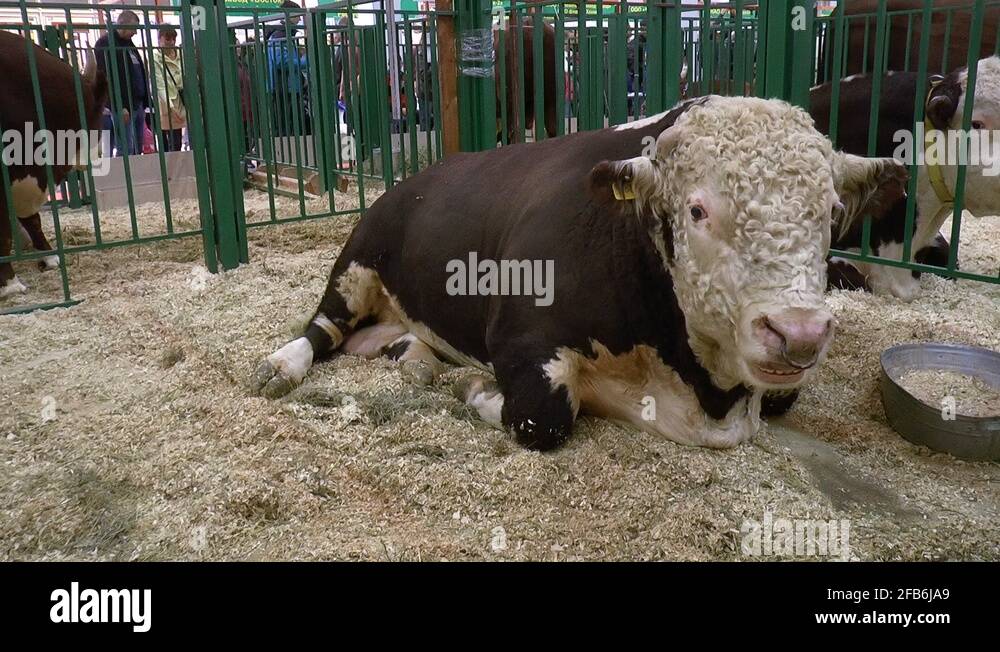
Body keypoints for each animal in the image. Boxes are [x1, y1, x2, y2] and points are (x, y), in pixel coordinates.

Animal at [0, 31, 108, 299]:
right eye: (102, 111)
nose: (100, 153)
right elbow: (3, 232)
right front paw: (10, 285)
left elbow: (33, 220)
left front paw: (50, 258)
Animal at [252, 95, 906, 450]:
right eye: (697, 209)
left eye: (831, 212)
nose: (799, 333)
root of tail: (410, 180)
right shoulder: (520, 338)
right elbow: (542, 417)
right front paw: (475, 389)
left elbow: (784, 396)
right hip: (356, 262)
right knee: (322, 329)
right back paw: (280, 366)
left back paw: (414, 359)